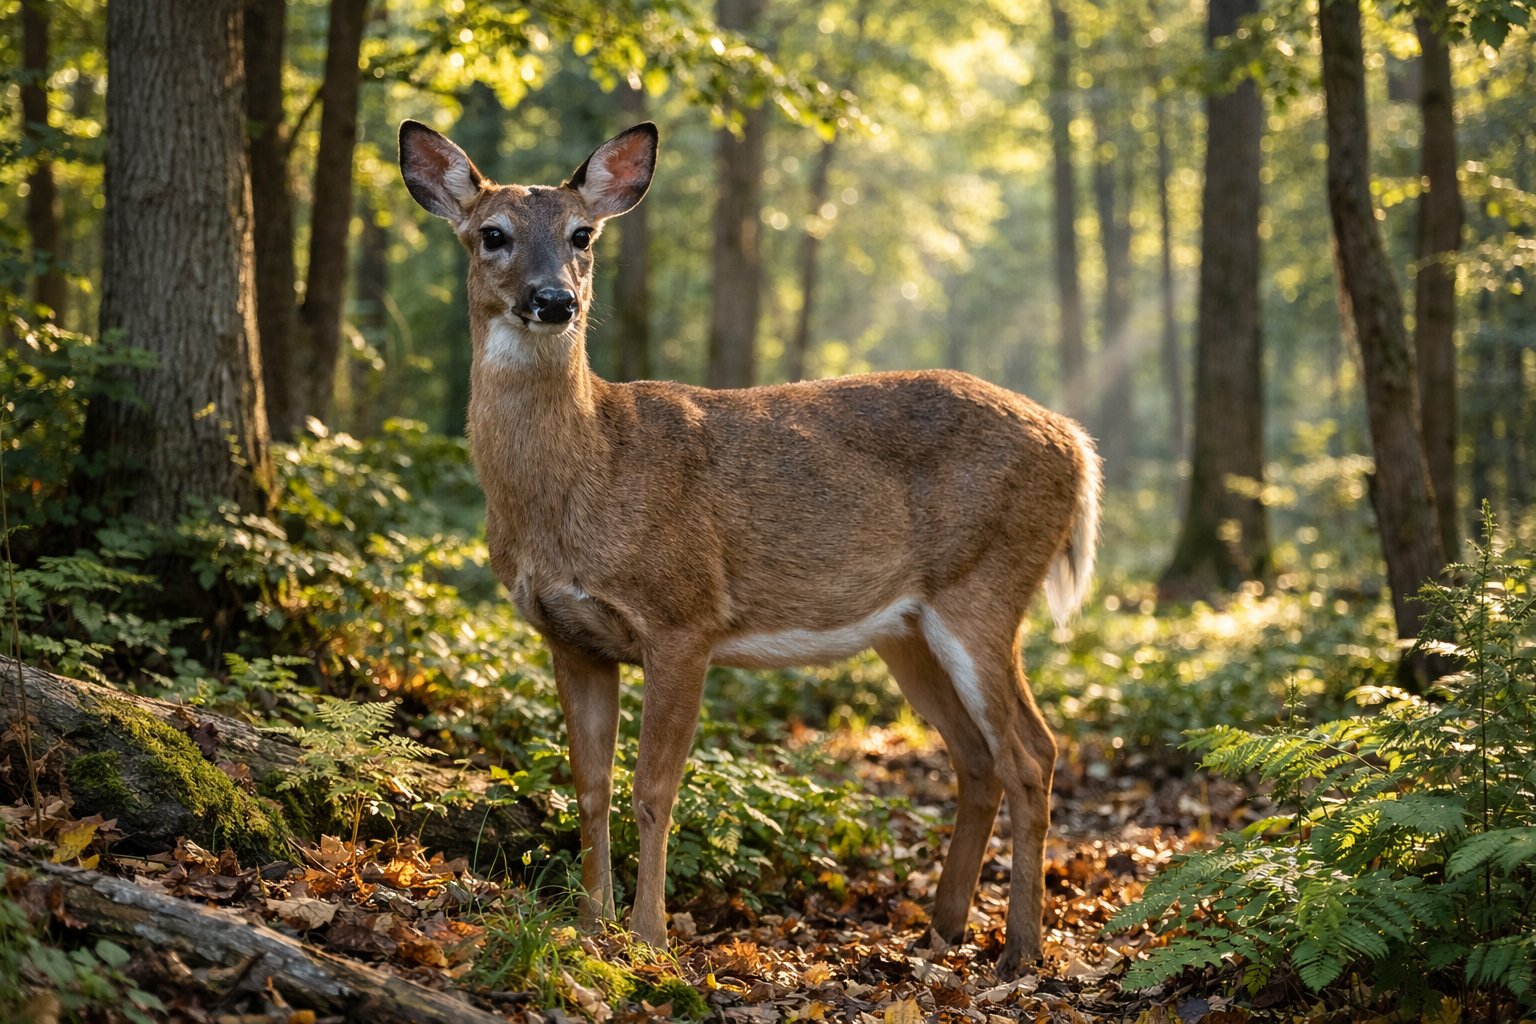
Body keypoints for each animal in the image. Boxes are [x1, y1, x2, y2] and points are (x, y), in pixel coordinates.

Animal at [398, 118, 1102, 976]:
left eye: (582, 234)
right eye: (492, 234)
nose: (555, 301)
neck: (585, 475)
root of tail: (1075, 443)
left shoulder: (683, 614)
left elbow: (654, 788)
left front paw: (648, 939)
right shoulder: (571, 635)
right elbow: (589, 786)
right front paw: (591, 926)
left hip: (986, 587)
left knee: (1033, 751)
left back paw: (1021, 952)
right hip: (907, 629)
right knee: (977, 758)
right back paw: (942, 930)